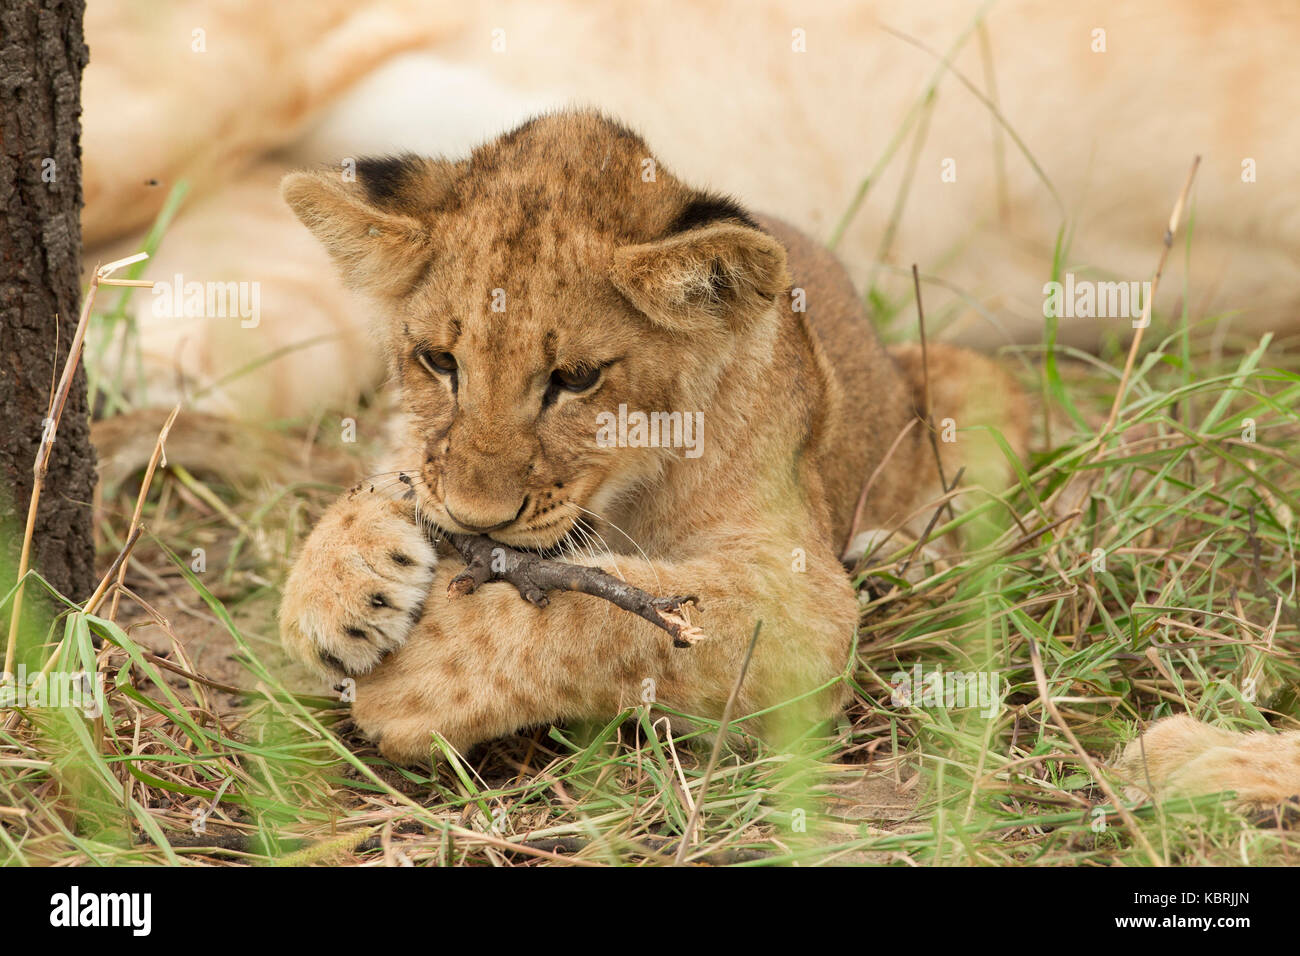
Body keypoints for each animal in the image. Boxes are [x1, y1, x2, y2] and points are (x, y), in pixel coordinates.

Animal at [276, 110, 1026, 761]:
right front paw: (335, 586)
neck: (623, 491)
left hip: (973, 382)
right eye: (438, 360)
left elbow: (600, 616)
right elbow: (385, 477)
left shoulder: (806, 605)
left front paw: (422, 675)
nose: (475, 519)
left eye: (576, 378)